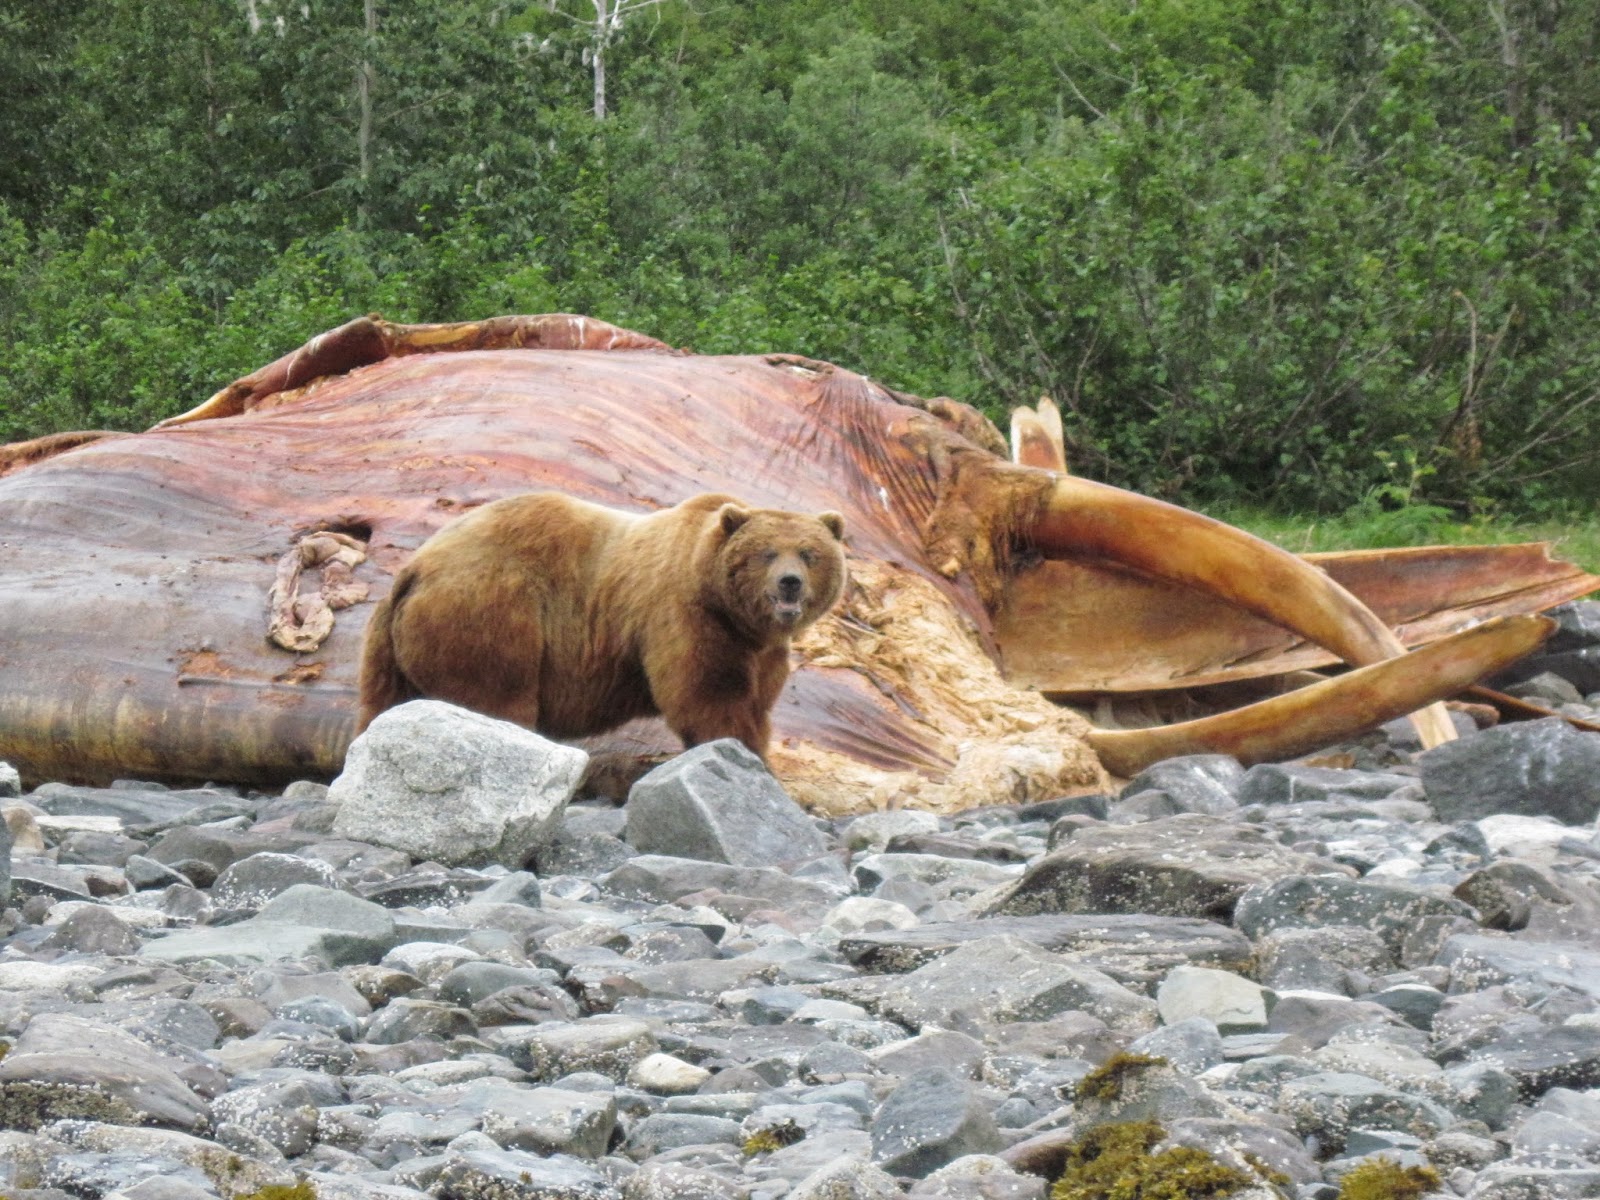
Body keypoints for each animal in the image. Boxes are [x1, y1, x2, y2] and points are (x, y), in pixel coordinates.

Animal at [356, 491, 847, 761]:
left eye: (809, 553)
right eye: (767, 553)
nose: (789, 583)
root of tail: (418, 565)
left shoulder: (760, 648)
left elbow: (757, 701)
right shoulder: (684, 616)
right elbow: (708, 695)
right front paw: (741, 751)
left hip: (390, 647)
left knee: (383, 704)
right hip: (488, 614)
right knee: (494, 699)